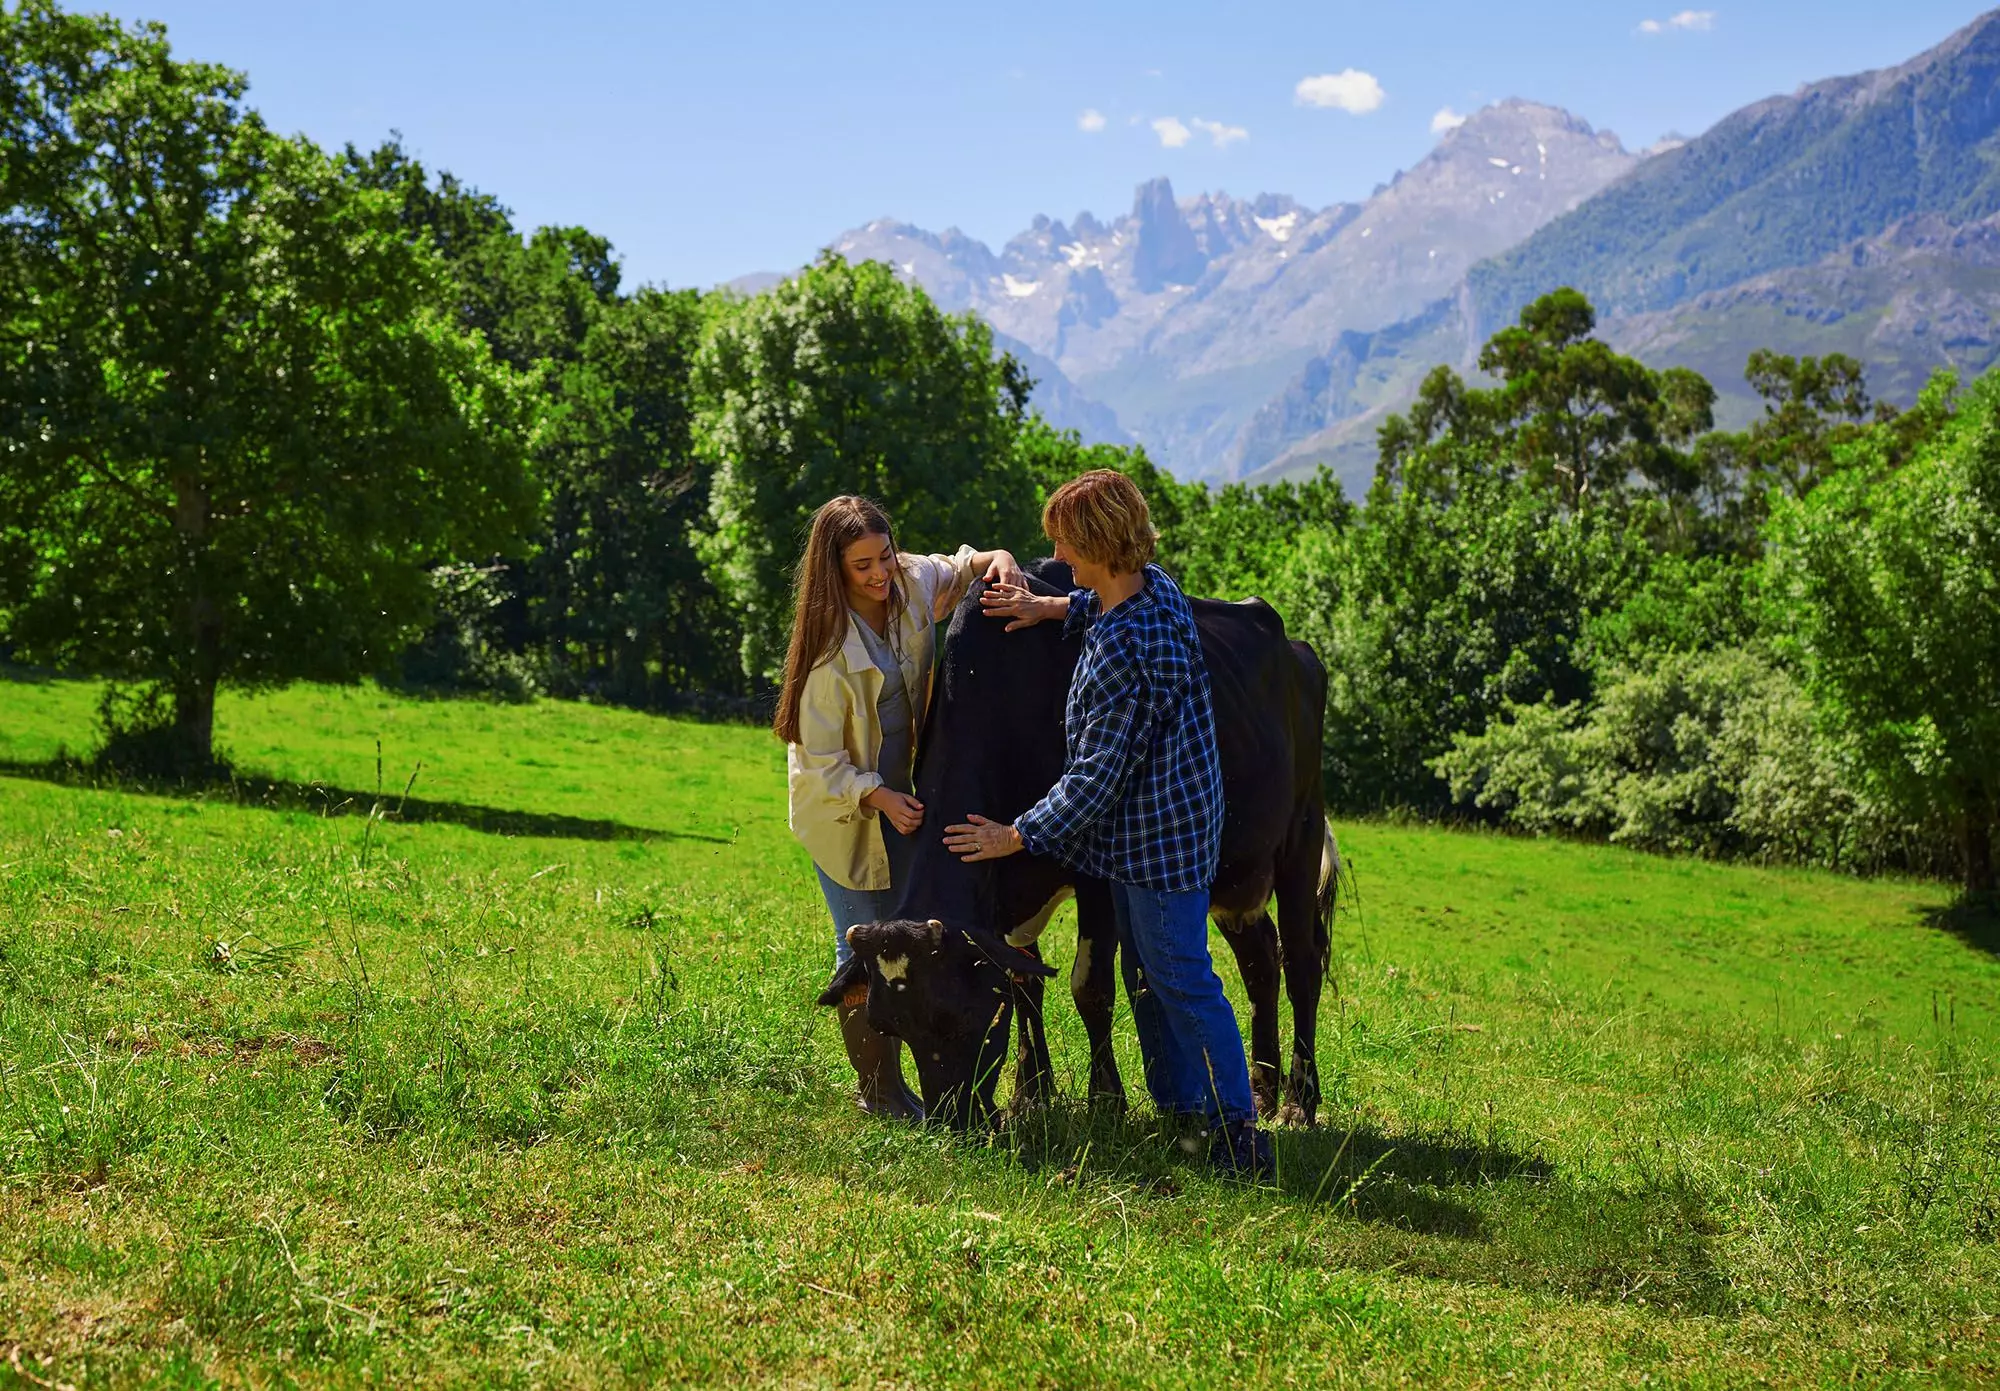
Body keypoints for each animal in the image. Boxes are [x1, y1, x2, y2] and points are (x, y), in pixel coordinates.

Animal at [820, 555, 1336, 1127]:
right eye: (889, 1027)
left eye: (963, 1015)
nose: (955, 1122)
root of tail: (1296, 650)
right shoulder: (1003, 894)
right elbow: (1025, 982)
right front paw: (1031, 1093)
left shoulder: (1097, 875)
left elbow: (1090, 987)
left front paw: (1105, 1100)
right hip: (1235, 872)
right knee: (1260, 960)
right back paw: (1262, 1090)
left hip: (1301, 832)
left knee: (1302, 961)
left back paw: (1298, 1101)